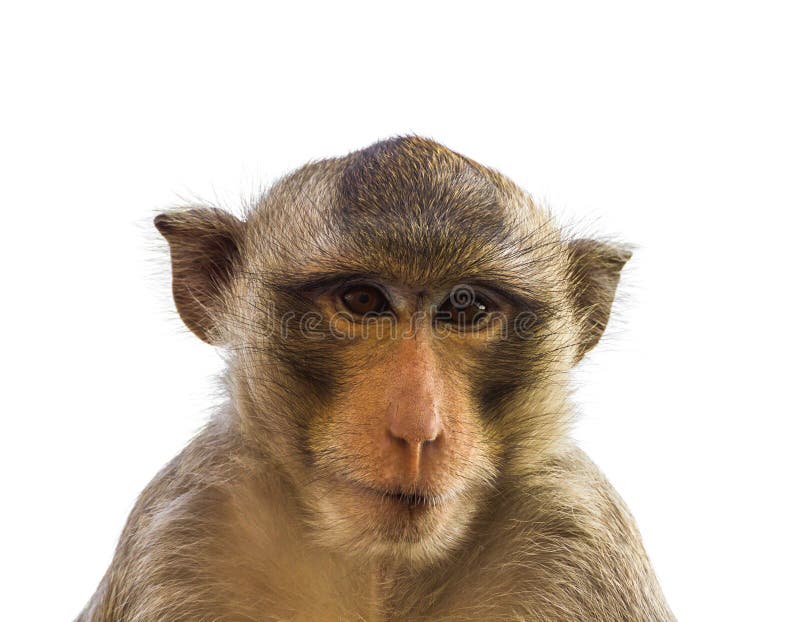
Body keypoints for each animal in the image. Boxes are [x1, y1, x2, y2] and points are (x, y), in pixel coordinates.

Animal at [77, 137, 674, 622]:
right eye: (363, 300)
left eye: (466, 308)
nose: (417, 430)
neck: (381, 571)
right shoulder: (181, 528)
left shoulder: (582, 533)